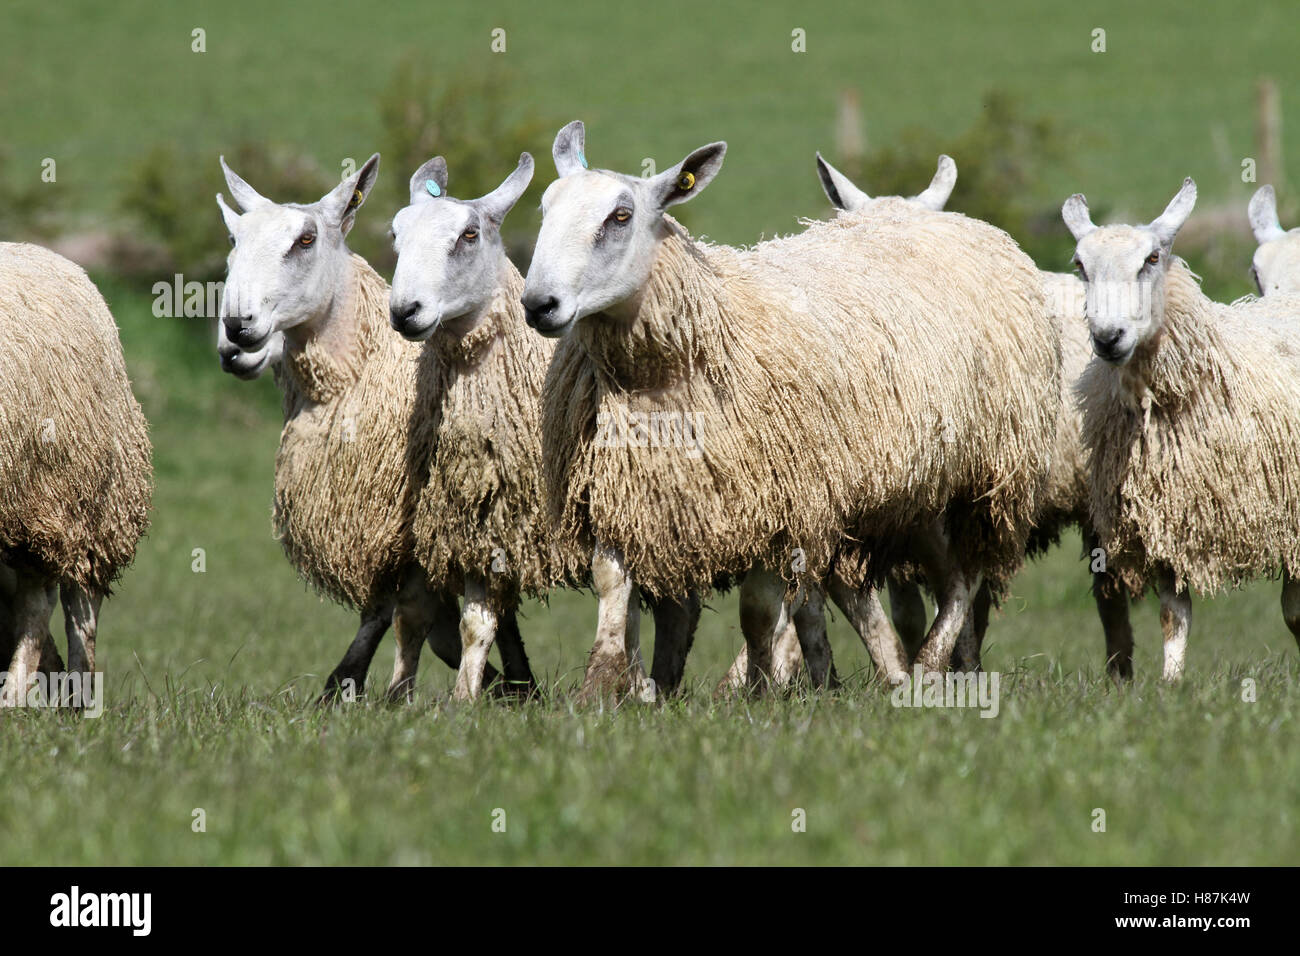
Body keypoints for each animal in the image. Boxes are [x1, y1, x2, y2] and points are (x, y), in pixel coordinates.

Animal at [215, 154, 531, 700]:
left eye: (305, 240)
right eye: (234, 241)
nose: (234, 334)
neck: (363, 368)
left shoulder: (403, 522)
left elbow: (392, 612)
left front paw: (346, 686)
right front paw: (515, 684)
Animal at [522, 121, 1060, 697]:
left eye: (620, 217)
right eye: (543, 209)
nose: (538, 304)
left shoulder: (780, 502)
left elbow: (759, 612)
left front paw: (759, 690)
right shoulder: (619, 492)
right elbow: (613, 589)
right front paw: (606, 687)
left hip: (979, 477)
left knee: (962, 578)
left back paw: (927, 667)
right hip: (905, 490)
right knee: (925, 582)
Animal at [1063, 178, 1300, 680]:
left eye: (1152, 259)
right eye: (1080, 266)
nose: (1107, 337)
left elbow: (1294, 612)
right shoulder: (1168, 514)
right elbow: (1174, 615)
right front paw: (1171, 684)